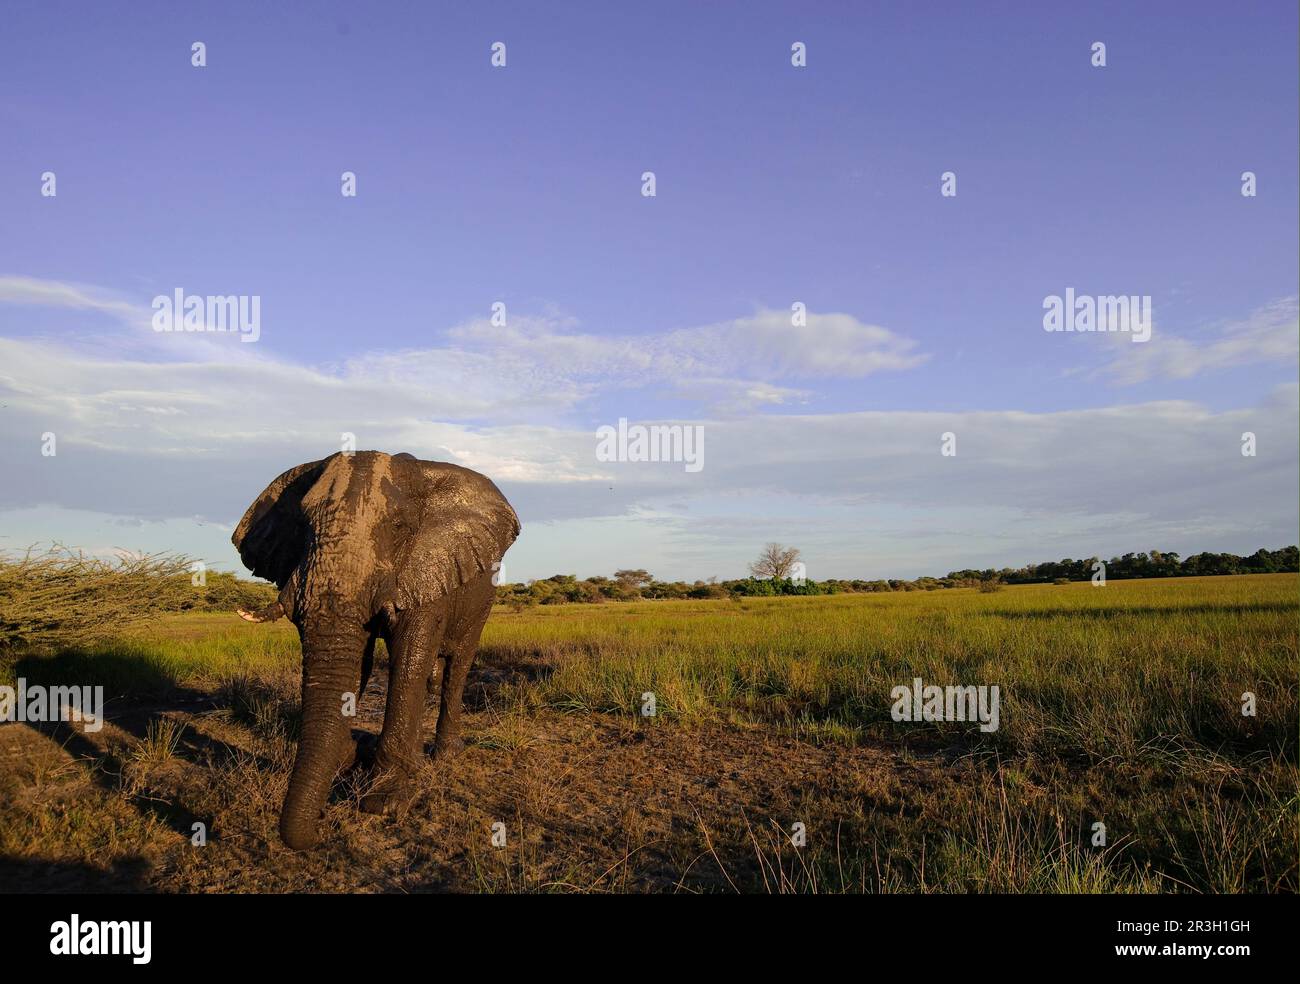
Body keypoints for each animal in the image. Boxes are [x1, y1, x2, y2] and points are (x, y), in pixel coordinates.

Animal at [231, 450, 519, 850]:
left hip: (482, 598)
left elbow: (410, 657)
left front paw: (383, 803)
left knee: (458, 664)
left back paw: (445, 756)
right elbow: (360, 662)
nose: (320, 827)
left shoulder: (429, 565)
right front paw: (348, 761)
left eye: (398, 527)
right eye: (302, 527)